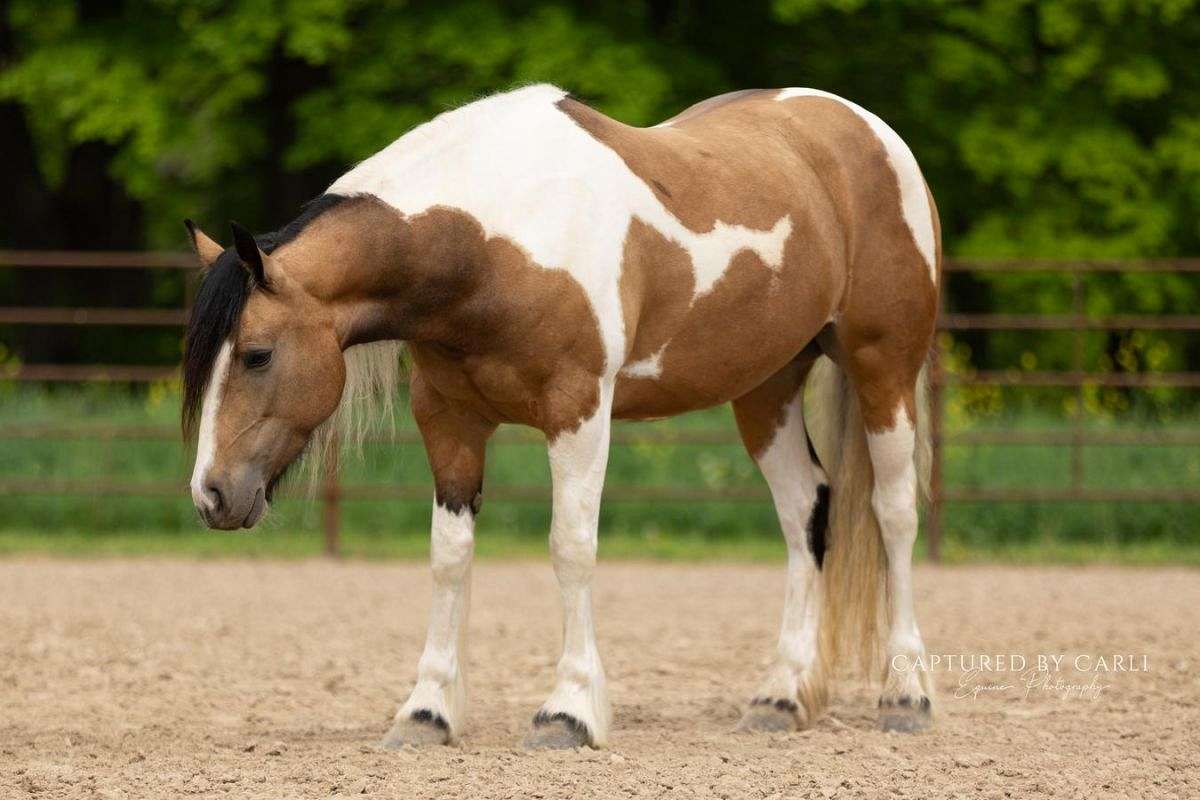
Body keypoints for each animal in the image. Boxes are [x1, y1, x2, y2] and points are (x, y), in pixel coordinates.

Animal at [182, 84, 940, 749]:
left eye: (256, 355)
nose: (211, 494)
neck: (490, 243)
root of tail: (867, 131)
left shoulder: (579, 413)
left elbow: (570, 548)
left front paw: (568, 712)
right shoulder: (448, 420)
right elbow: (448, 557)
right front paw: (427, 712)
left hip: (883, 368)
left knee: (895, 513)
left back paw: (906, 696)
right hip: (766, 388)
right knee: (804, 513)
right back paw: (779, 698)